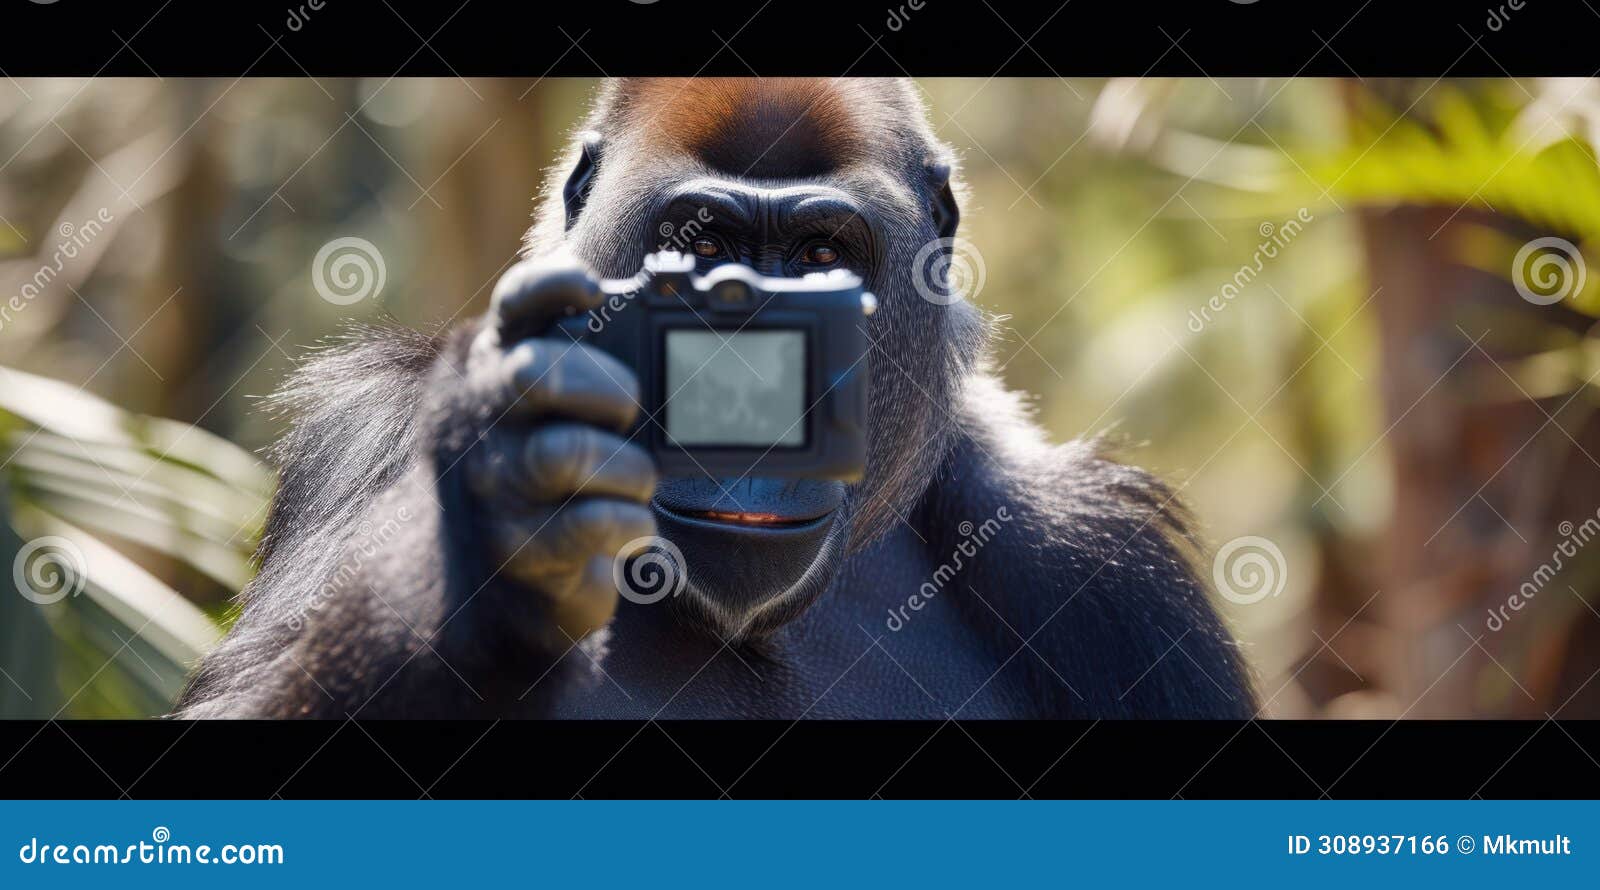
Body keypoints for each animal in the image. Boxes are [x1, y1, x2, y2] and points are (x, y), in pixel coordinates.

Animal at [176, 78, 1255, 719]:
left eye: (820, 258)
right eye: (698, 249)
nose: (749, 397)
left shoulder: (1095, 557)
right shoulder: (379, 426)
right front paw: (490, 544)